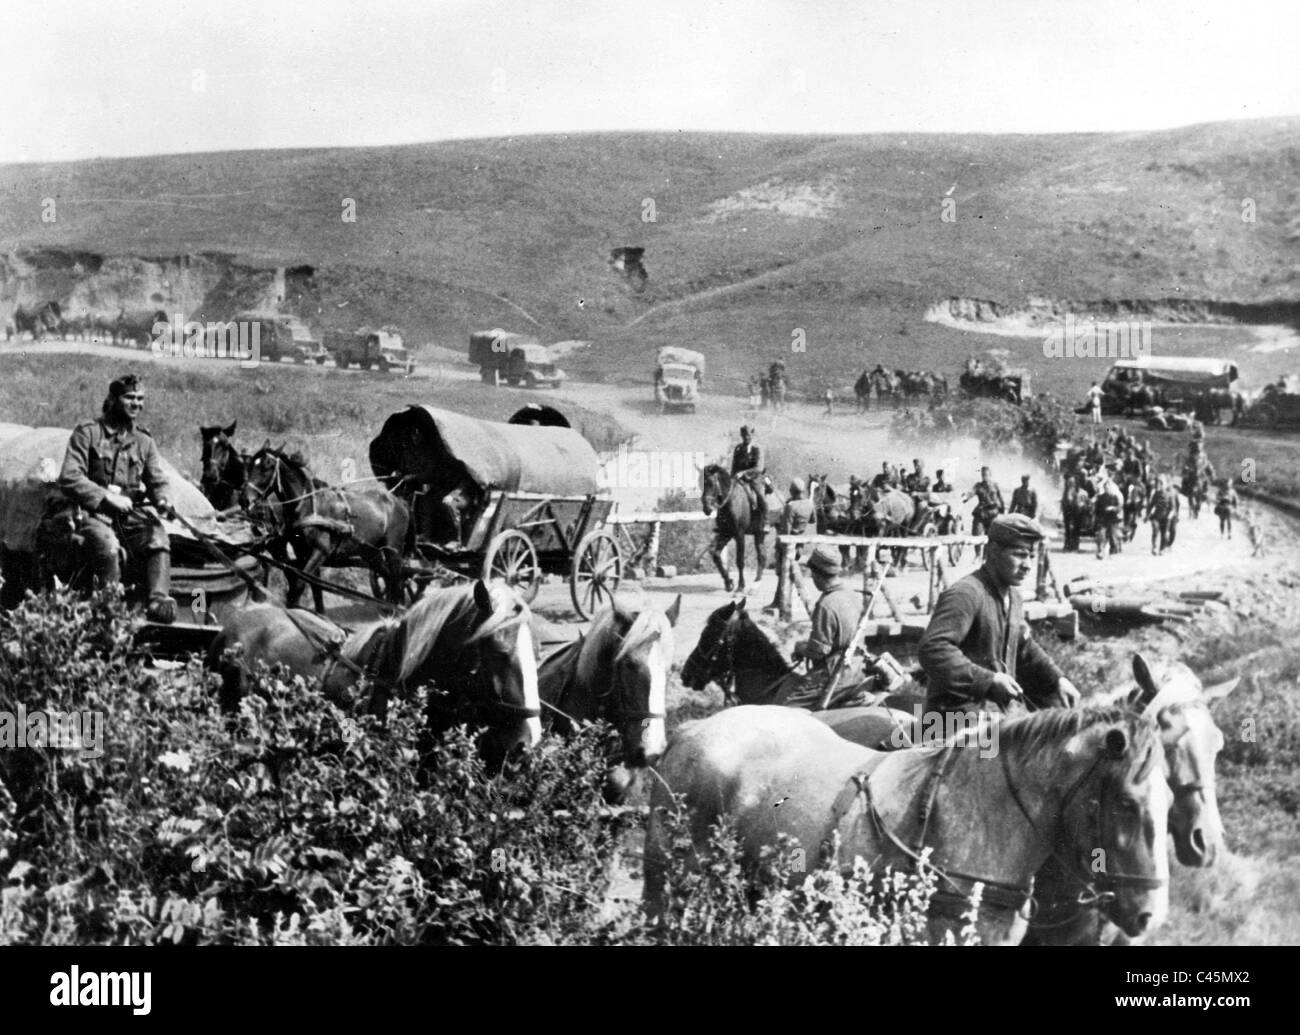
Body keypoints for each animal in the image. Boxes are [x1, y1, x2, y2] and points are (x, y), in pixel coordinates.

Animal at [241, 439, 408, 611]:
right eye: (250, 465)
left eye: (267, 466)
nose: (244, 499)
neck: (309, 507)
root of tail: (398, 501)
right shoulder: (303, 554)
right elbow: (315, 590)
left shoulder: (320, 552)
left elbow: (298, 586)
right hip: (370, 552)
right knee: (387, 576)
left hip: (393, 549)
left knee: (397, 579)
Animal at [702, 465, 769, 595]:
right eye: (703, 483)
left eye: (711, 484)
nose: (706, 508)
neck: (731, 501)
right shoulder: (726, 533)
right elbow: (716, 555)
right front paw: (729, 583)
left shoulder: (739, 534)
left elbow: (740, 561)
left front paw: (740, 586)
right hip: (759, 534)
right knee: (762, 556)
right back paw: (755, 585)